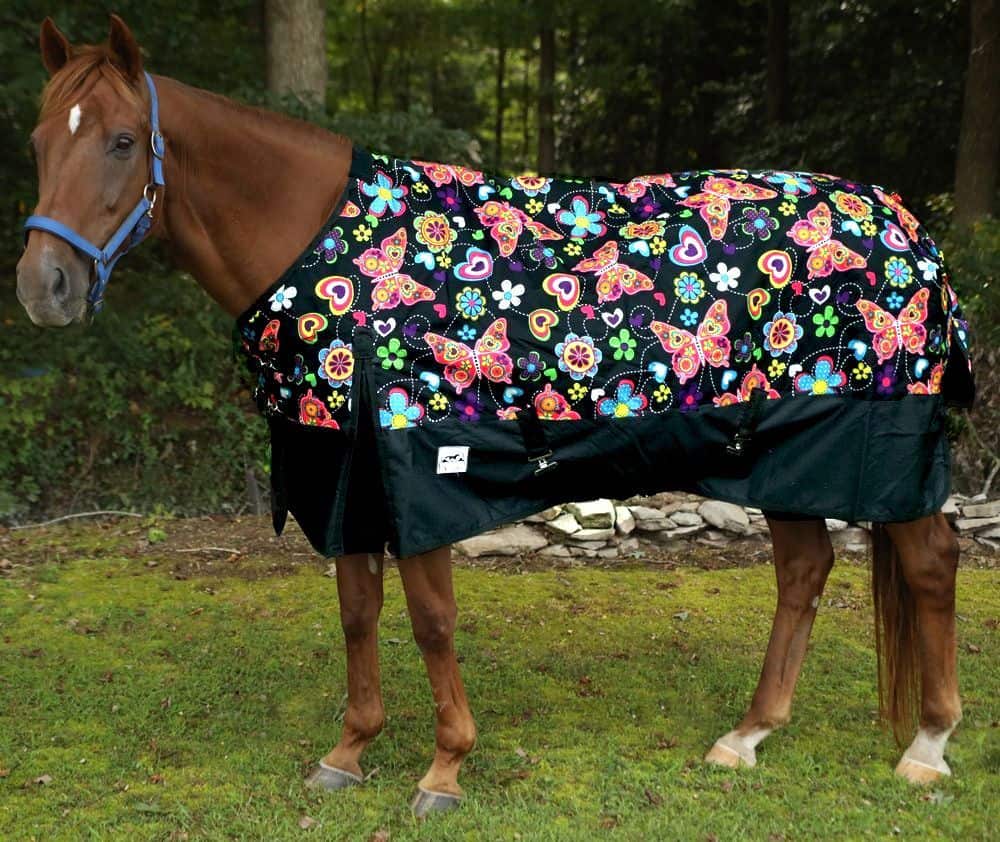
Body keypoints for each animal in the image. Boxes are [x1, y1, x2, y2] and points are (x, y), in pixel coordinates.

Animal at [16, 16, 972, 816]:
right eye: (37, 142)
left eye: (121, 141)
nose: (43, 287)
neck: (324, 250)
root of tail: (909, 224)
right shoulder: (343, 479)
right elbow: (357, 612)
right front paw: (349, 752)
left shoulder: (418, 473)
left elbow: (431, 621)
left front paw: (444, 769)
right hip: (779, 453)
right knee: (804, 571)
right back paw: (748, 735)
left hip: (880, 450)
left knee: (929, 564)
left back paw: (928, 746)